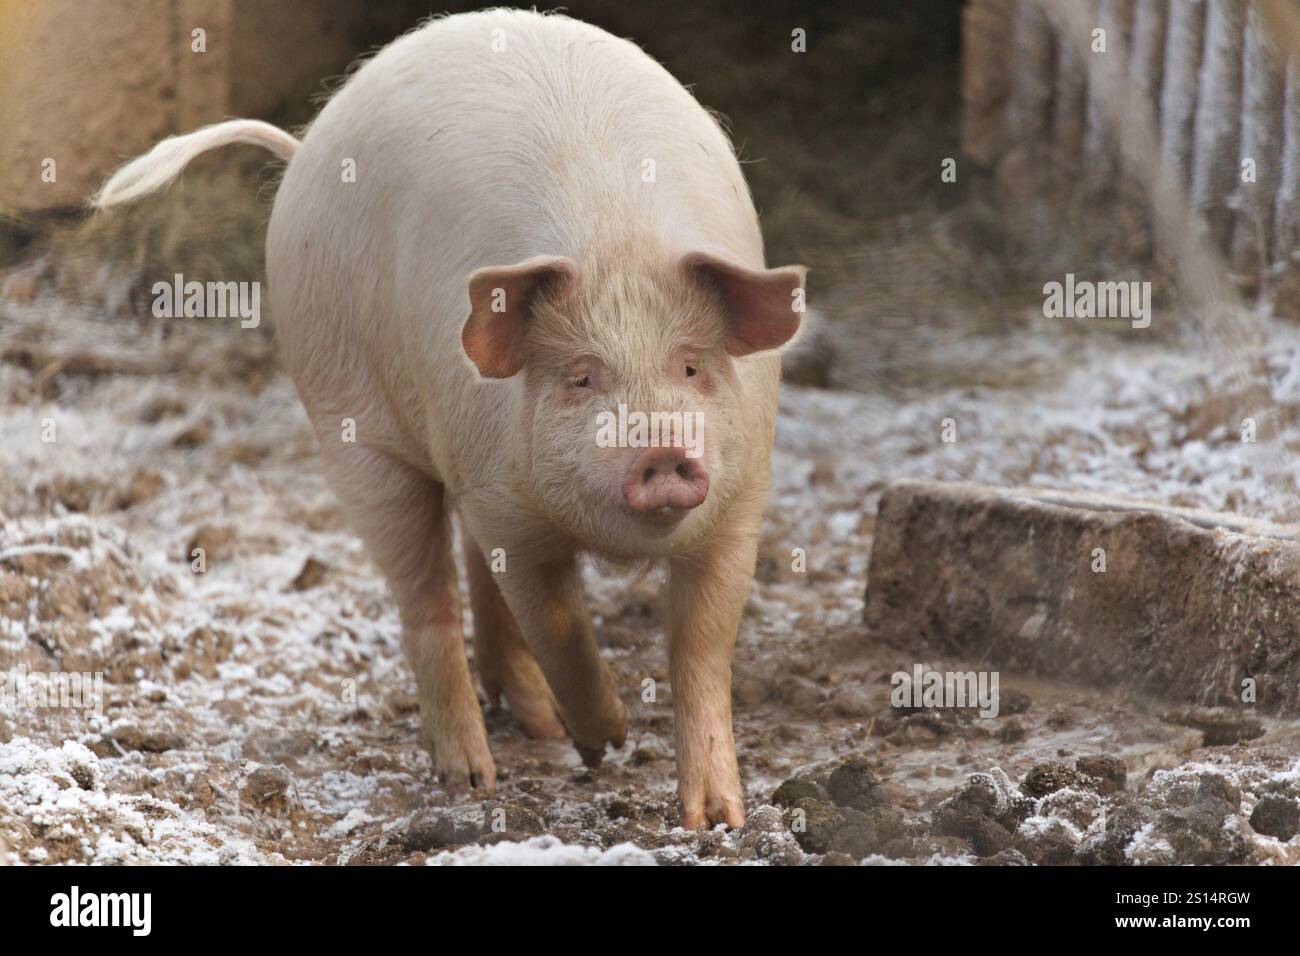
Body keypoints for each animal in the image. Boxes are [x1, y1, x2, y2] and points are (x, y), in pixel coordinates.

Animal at [94, 9, 806, 829]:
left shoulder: (740, 501)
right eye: (580, 377)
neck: (614, 241)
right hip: (353, 427)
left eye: (690, 366)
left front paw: (717, 819)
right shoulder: (510, 514)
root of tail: (306, 149)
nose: (660, 451)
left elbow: (701, 650)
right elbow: (558, 625)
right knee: (426, 597)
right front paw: (608, 740)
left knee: (469, 570)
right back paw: (472, 778)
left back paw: (535, 726)